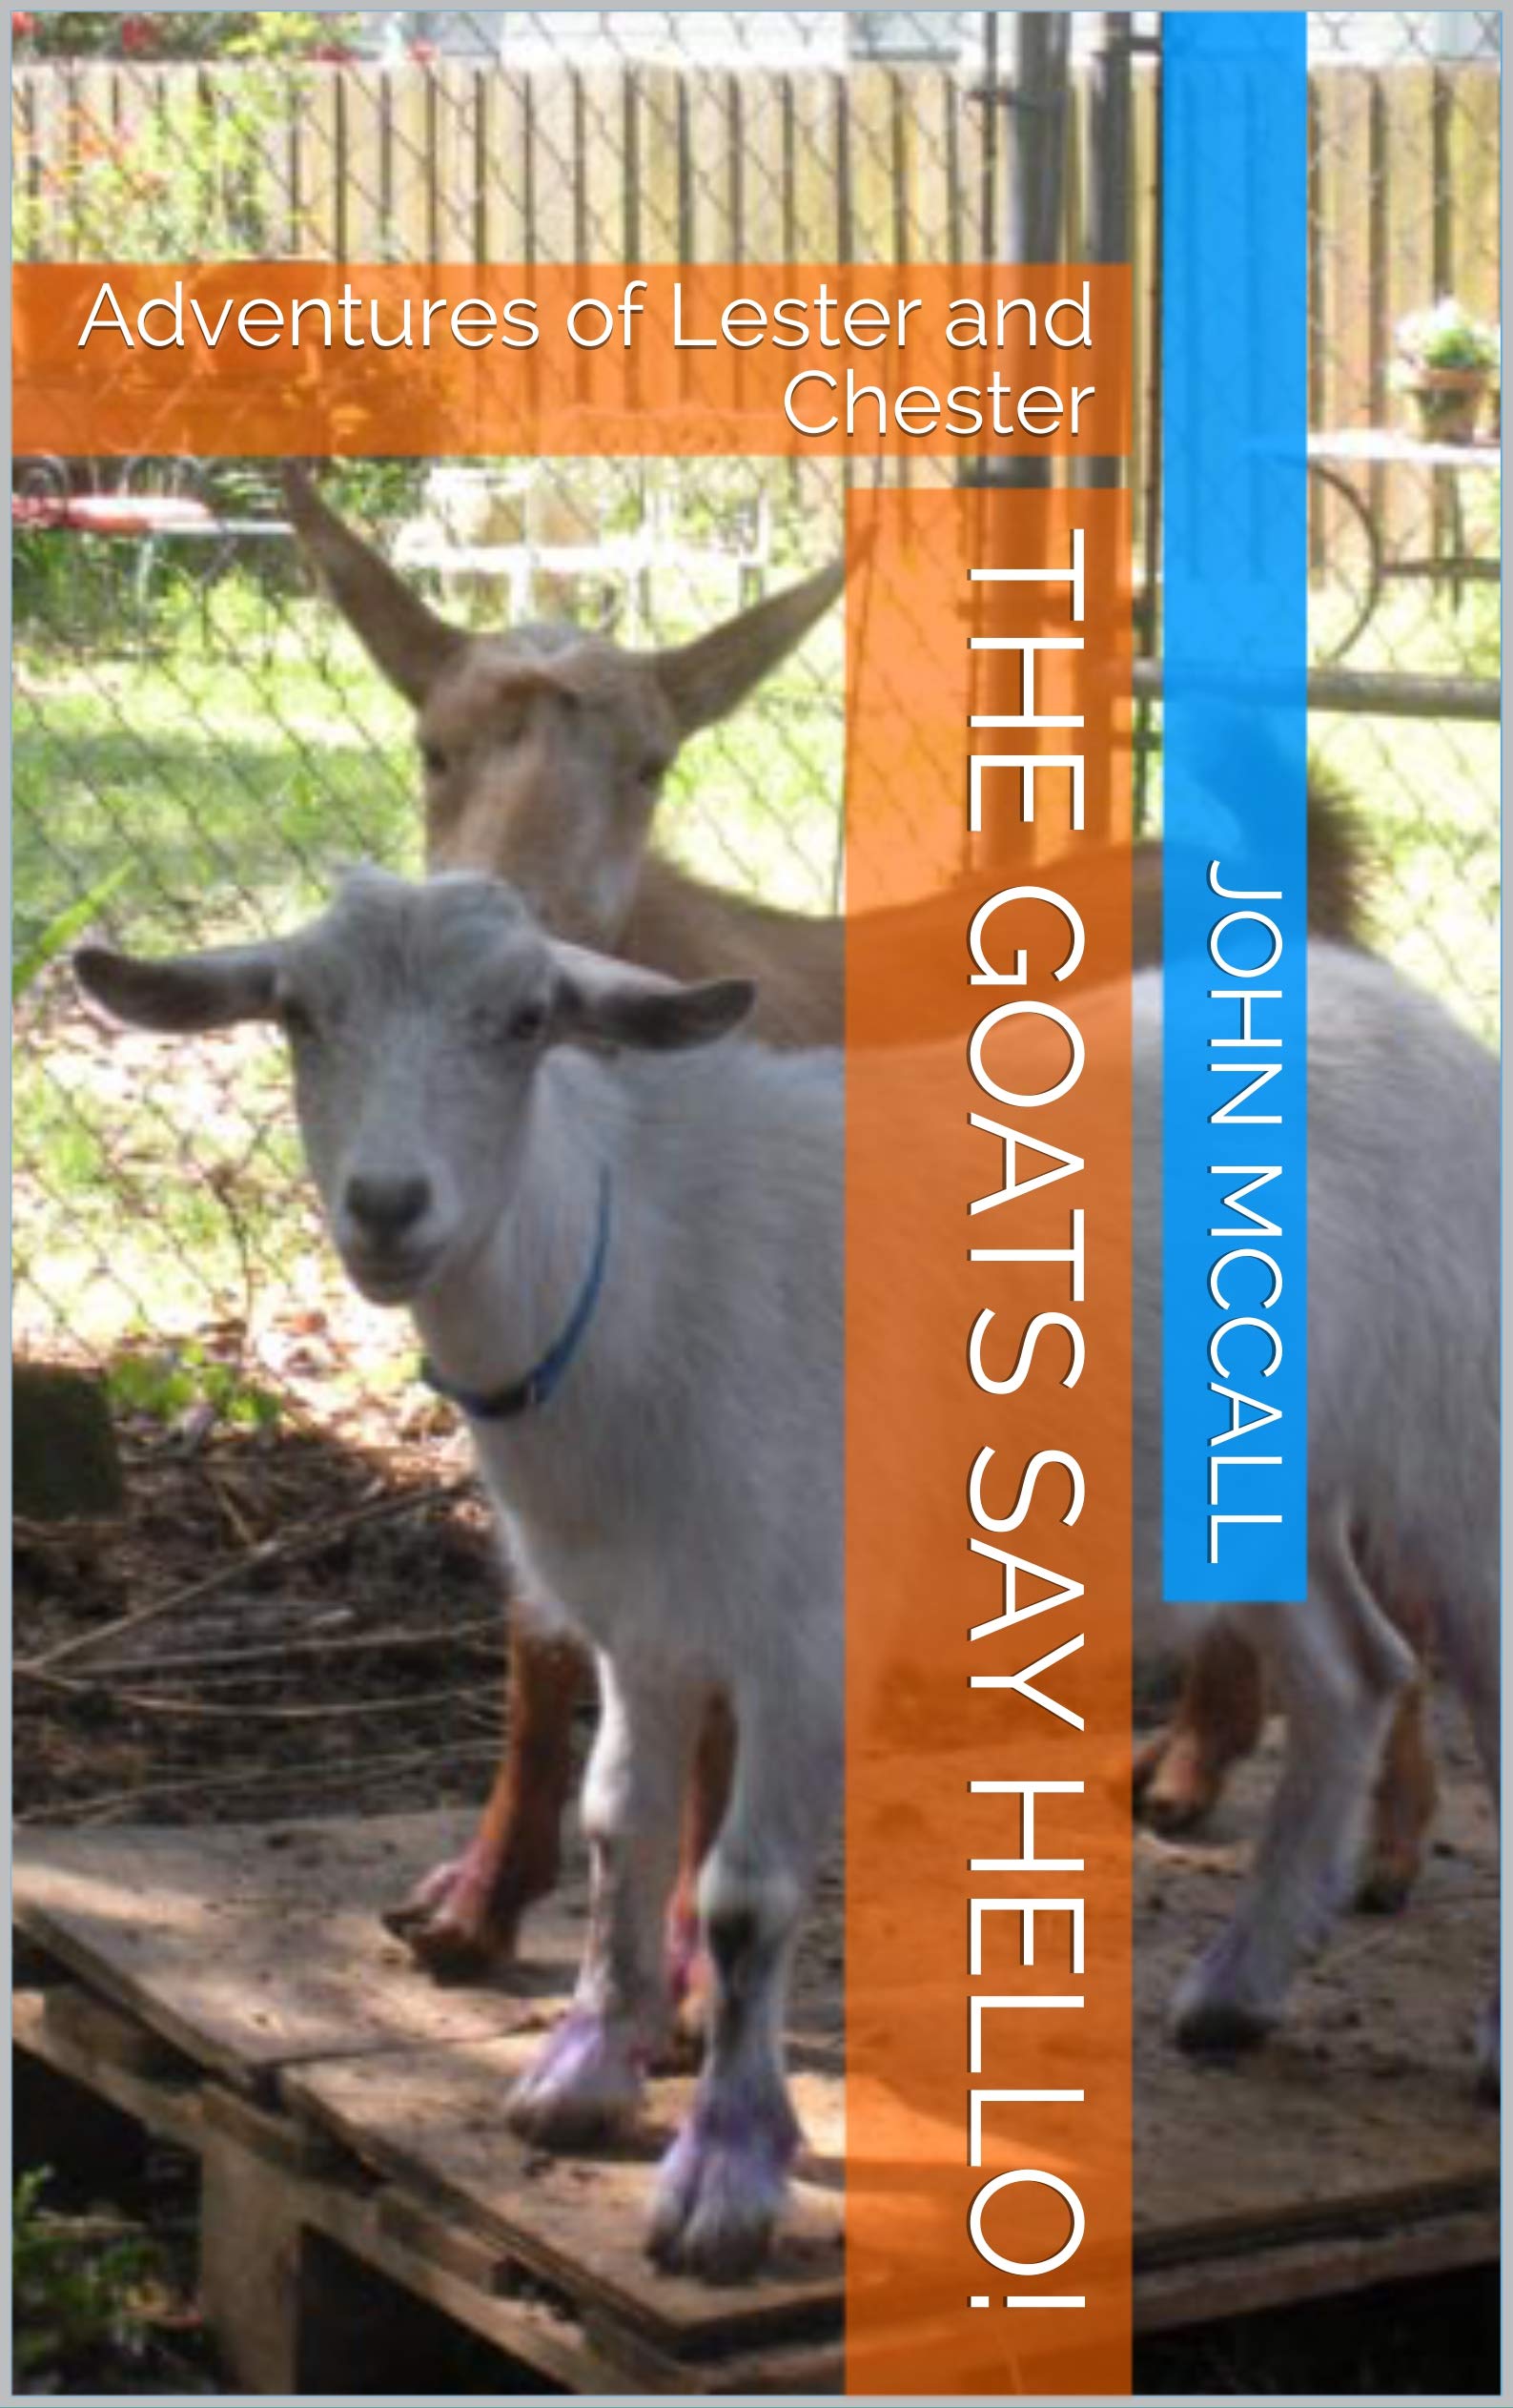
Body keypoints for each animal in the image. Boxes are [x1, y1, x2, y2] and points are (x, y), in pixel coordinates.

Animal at [77, 876, 1499, 2281]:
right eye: (296, 1012)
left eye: (527, 1018)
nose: (385, 1205)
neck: (629, 1275)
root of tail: (1406, 1009)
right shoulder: (641, 1626)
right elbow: (619, 1826)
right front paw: (584, 2074)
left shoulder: (806, 1628)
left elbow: (744, 1897)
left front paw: (723, 2178)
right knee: (1352, 1674)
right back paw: (1235, 1989)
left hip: (1456, 1458)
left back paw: (1478, 2037)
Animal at [284, 468, 1435, 1980]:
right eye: (432, 747)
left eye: (651, 765)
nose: (511, 929)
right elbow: (541, 1639)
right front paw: (482, 1900)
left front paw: (681, 1956)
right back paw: (1194, 1769)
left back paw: (1384, 1839)